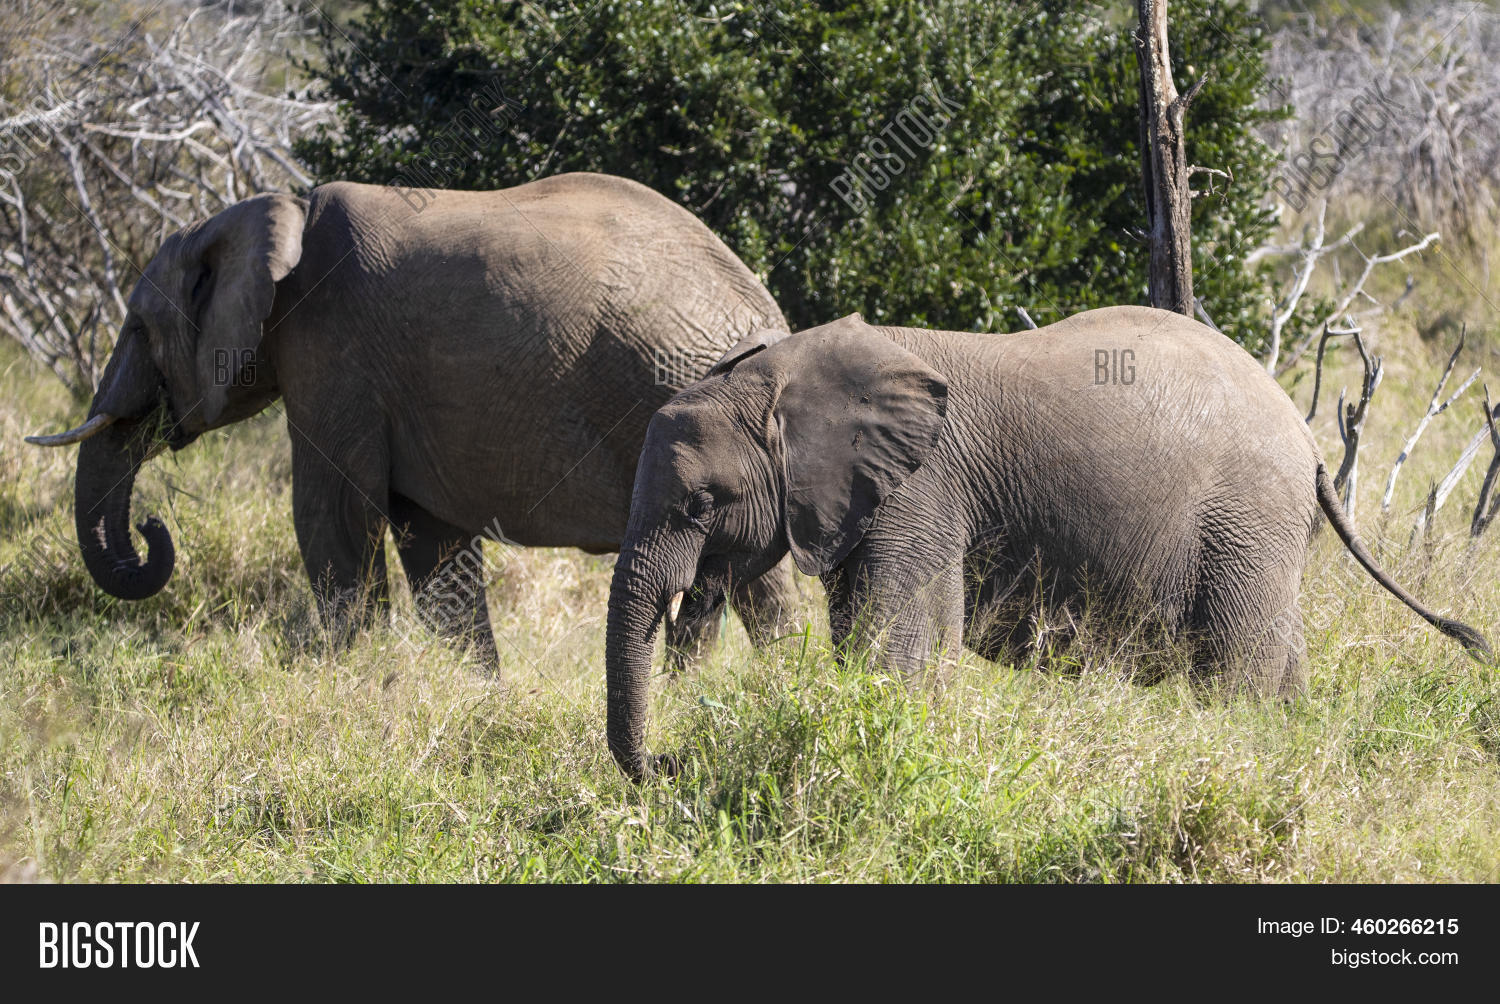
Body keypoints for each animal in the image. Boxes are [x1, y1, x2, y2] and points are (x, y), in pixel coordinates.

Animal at [27, 172, 795, 669]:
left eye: (136, 328)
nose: (151, 530)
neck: (270, 214)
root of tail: (766, 308)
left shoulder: (331, 351)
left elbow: (331, 515)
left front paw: (354, 684)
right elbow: (433, 541)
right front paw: (476, 697)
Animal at [603, 306, 1490, 779]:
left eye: (701, 502)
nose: (671, 763)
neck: (785, 369)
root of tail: (1310, 448)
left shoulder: (923, 487)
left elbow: (897, 642)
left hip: (1245, 521)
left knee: (1235, 668)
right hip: (1261, 536)